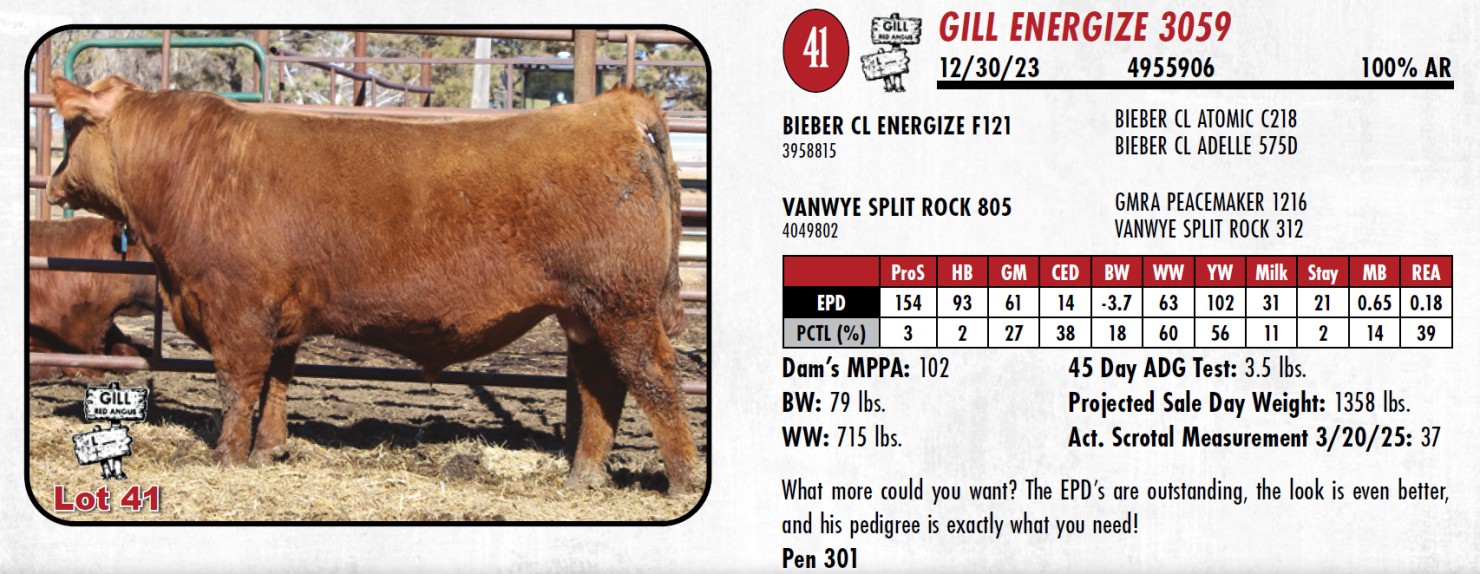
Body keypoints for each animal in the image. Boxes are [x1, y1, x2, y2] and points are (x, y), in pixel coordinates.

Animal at [47, 75, 697, 494]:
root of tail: (613, 109)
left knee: (656, 380)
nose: (51, 184)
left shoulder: (237, 310)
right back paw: (583, 478)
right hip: (586, 314)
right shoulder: (284, 315)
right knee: (600, 386)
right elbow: (278, 382)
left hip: (624, 306)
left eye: (72, 127)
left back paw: (681, 481)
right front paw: (269, 450)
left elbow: (239, 386)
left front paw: (227, 458)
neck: (192, 171)